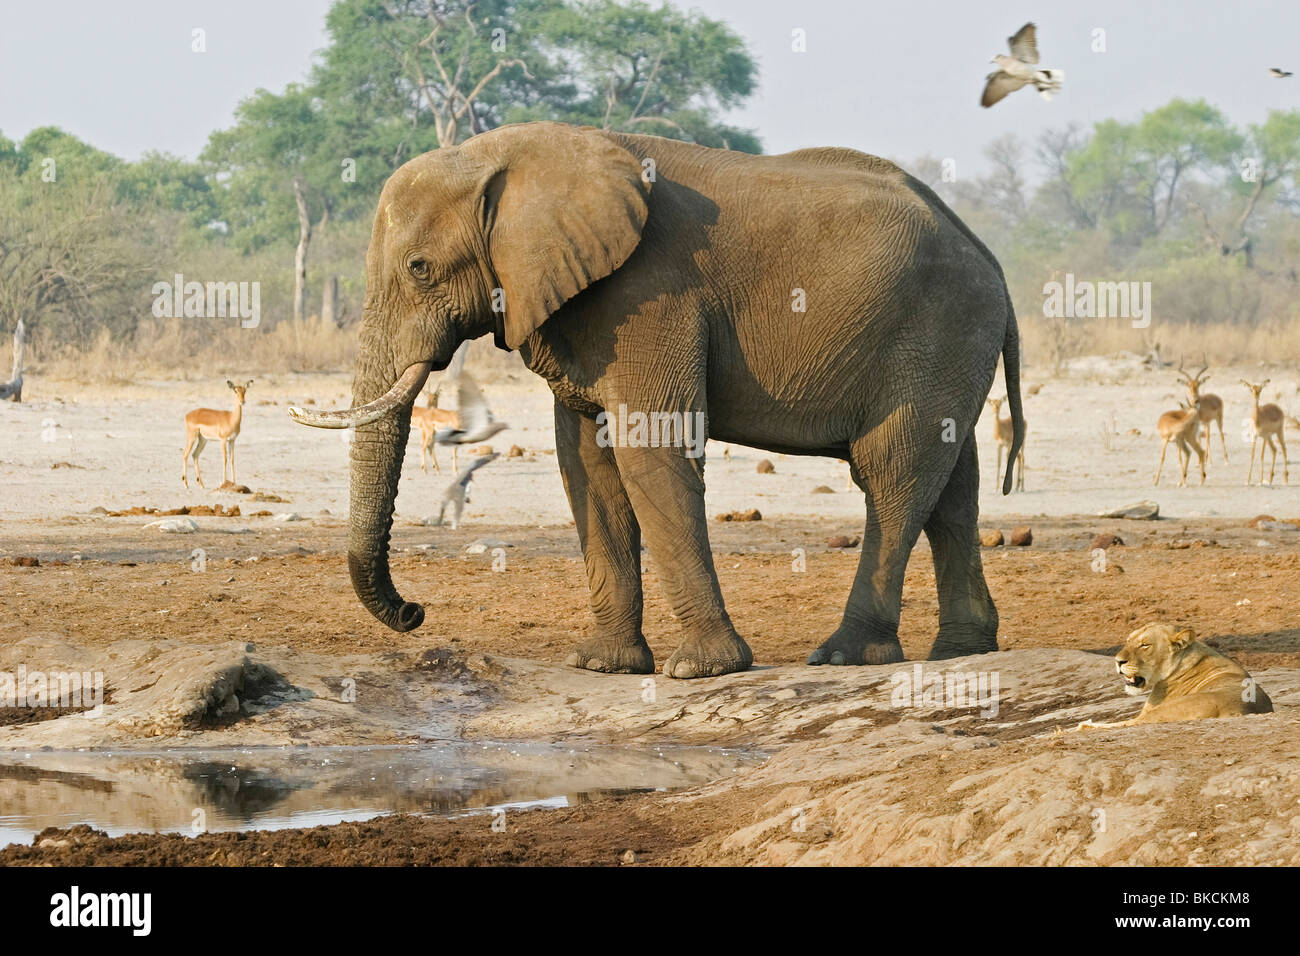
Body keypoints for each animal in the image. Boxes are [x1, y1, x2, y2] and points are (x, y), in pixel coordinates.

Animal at [290, 121, 1025, 679]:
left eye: (420, 269)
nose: (416, 613)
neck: (512, 155)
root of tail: (991, 258)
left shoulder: (647, 296)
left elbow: (649, 450)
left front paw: (701, 670)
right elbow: (586, 463)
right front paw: (603, 665)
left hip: (937, 328)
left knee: (893, 472)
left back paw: (847, 655)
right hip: (950, 345)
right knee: (952, 487)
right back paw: (962, 653)